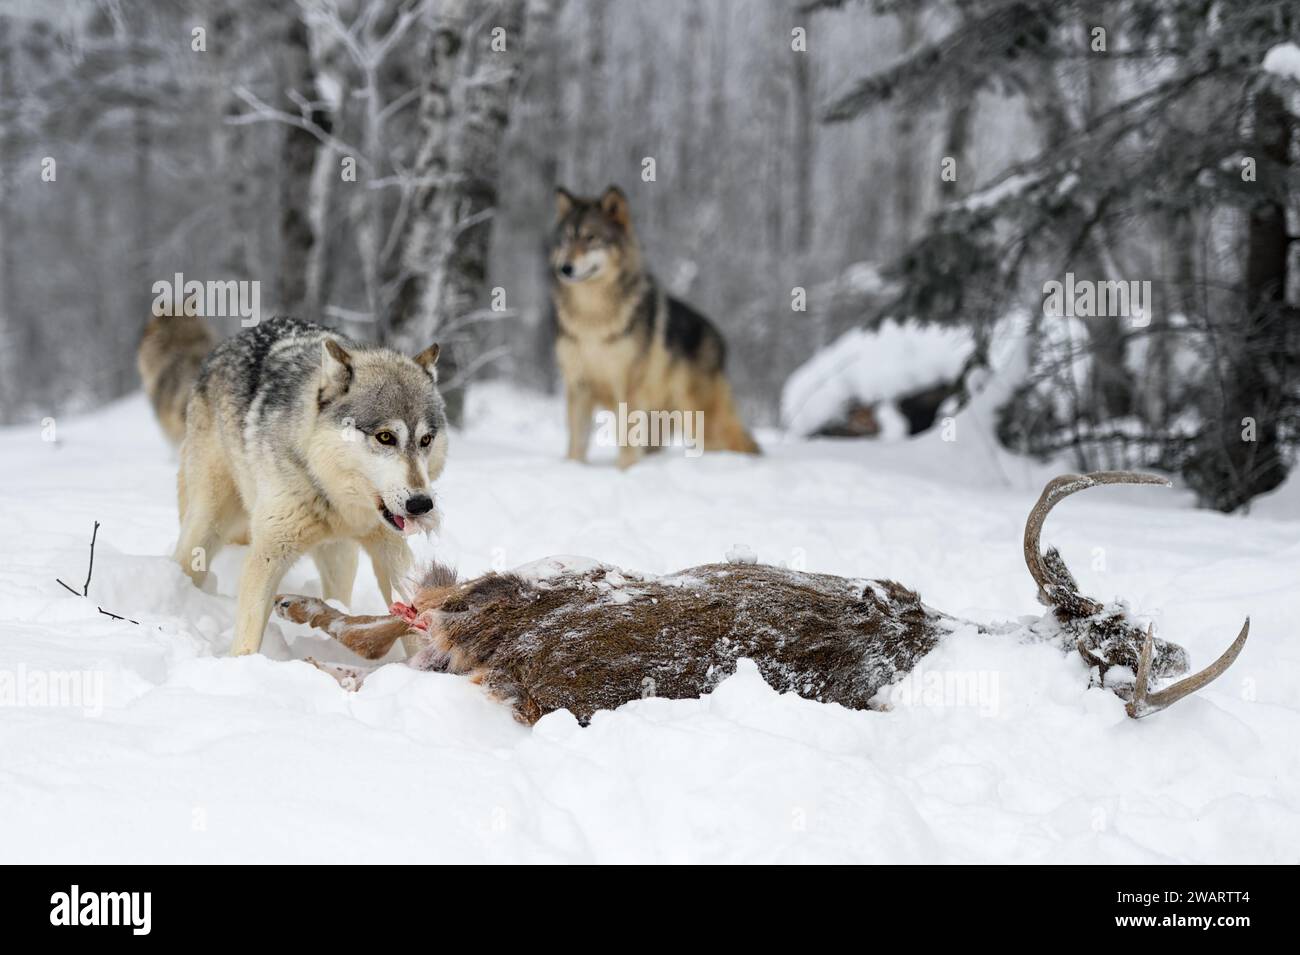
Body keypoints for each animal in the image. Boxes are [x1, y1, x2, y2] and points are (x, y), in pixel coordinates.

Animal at [172, 316, 447, 657]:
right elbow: (248, 636)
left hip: (341, 558)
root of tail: (225, 346)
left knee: (339, 597)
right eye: (385, 437)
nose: (421, 504)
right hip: (207, 525)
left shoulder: (391, 549)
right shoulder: (267, 555)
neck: (336, 499)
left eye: (426, 439)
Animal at [272, 472, 1250, 725]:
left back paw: (291, 623)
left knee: (388, 643)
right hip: (552, 573)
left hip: (527, 595)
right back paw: (289, 619)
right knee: (391, 630)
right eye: (1115, 633)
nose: (1172, 648)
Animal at [550, 185, 759, 468]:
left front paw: (625, 471)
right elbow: (576, 442)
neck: (593, 317)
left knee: (735, 441)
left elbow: (627, 441)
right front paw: (574, 468)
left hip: (698, 416)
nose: (565, 268)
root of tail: (719, 337)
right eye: (566, 240)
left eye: (591, 238)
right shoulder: (578, 385)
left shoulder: (627, 386)